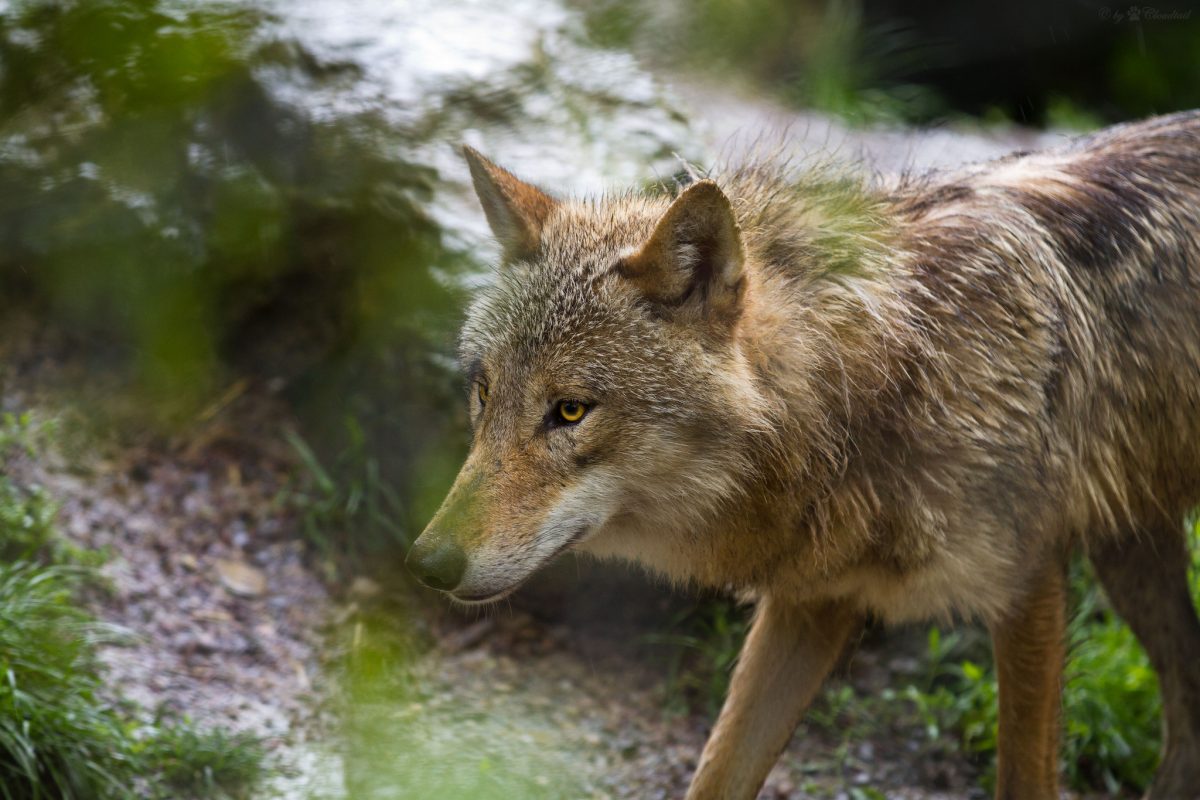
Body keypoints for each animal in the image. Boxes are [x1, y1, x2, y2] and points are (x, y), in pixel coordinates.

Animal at [407, 111, 1200, 799]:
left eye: (569, 411)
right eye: (484, 394)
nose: (428, 563)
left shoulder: (1028, 587)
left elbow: (1025, 779)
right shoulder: (810, 604)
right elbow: (718, 774)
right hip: (1133, 555)